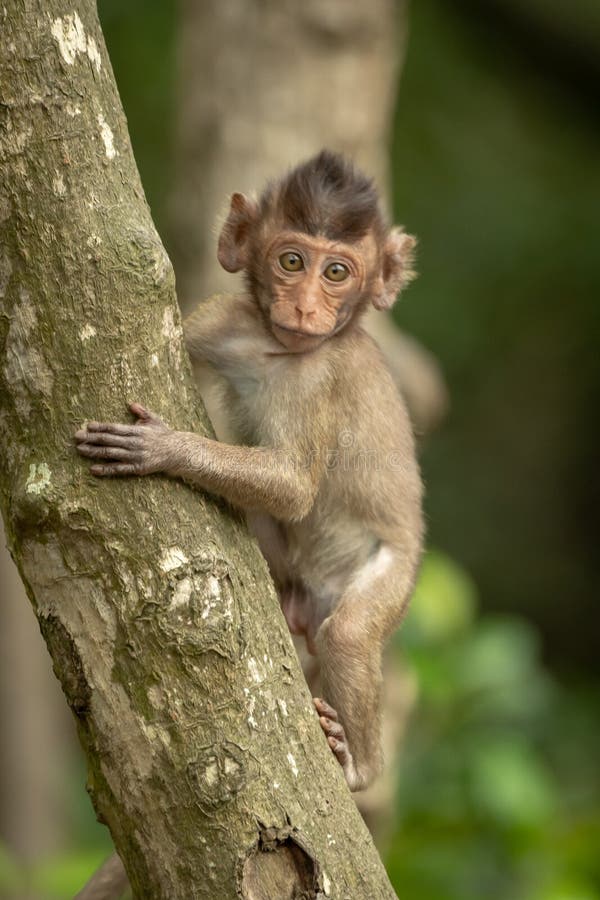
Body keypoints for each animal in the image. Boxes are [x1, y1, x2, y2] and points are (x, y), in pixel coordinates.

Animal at [75, 150, 423, 802]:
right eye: (291, 261)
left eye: (337, 272)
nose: (306, 306)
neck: (275, 349)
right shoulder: (223, 320)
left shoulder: (323, 376)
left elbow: (293, 488)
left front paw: (166, 447)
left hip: (395, 573)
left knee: (348, 633)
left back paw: (360, 766)